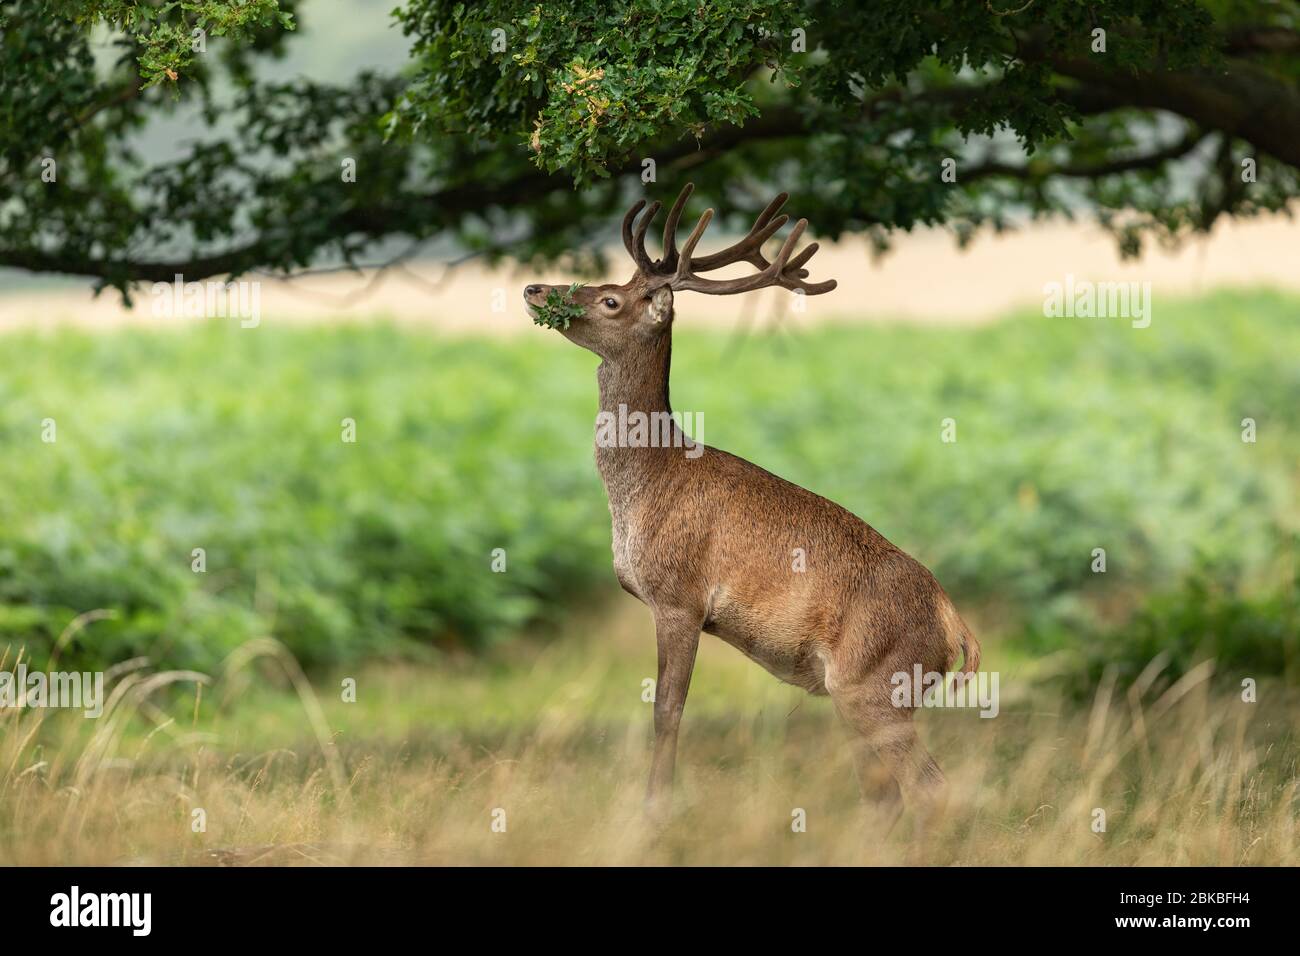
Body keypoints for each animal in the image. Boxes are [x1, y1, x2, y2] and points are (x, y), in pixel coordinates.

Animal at [523, 183, 979, 824]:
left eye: (611, 299)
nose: (535, 289)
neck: (648, 484)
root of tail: (956, 626)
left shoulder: (679, 595)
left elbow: (667, 710)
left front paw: (655, 811)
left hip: (875, 683)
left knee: (932, 787)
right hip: (864, 695)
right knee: (885, 795)